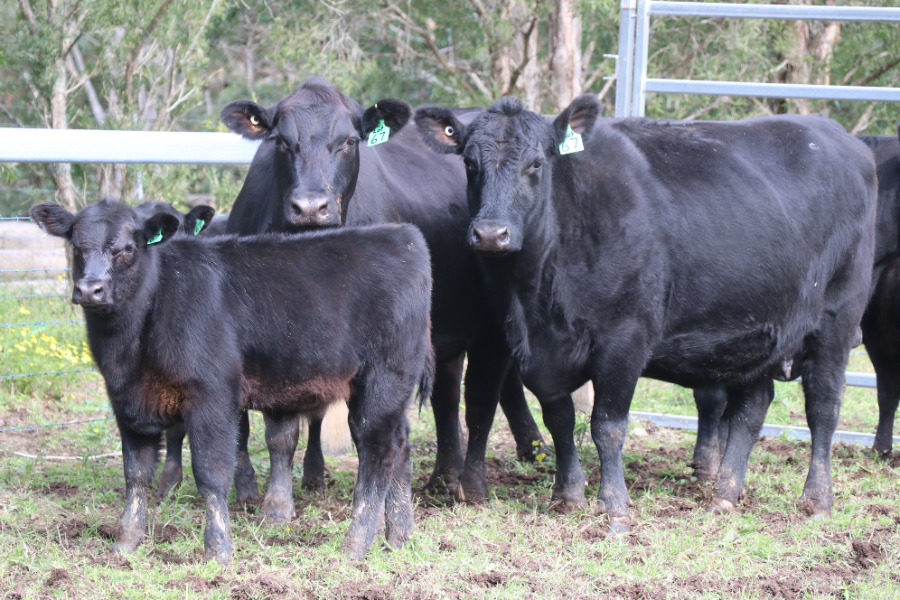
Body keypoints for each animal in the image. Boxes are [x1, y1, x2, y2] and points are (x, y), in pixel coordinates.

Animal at [30, 198, 434, 563]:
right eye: (76, 245)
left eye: (128, 247)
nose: (90, 289)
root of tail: (404, 236)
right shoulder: (127, 401)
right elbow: (136, 475)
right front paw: (125, 543)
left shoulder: (212, 395)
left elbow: (210, 473)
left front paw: (218, 549)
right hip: (390, 390)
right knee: (401, 448)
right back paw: (398, 536)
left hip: (382, 380)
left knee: (378, 453)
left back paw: (354, 546)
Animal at [220, 77, 547, 513]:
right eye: (280, 141)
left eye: (349, 141)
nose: (310, 207)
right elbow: (281, 427)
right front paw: (276, 498)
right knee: (446, 396)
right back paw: (441, 477)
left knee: (478, 397)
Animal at [415, 95, 876, 531]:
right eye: (470, 164)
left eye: (536, 164)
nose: (491, 233)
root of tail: (841, 136)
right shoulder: (539, 353)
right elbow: (560, 419)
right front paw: (568, 494)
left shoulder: (624, 338)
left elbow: (607, 425)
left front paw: (614, 507)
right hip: (761, 329)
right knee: (752, 407)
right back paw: (725, 494)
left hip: (837, 318)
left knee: (823, 407)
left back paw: (817, 500)